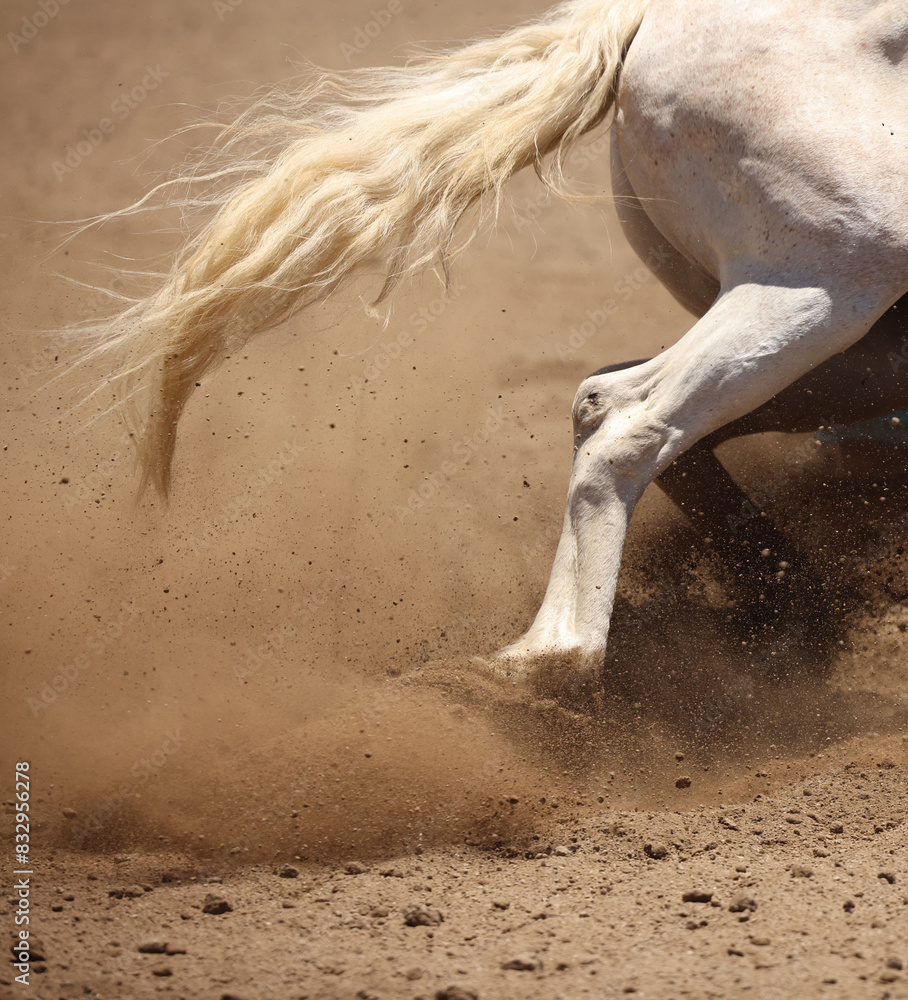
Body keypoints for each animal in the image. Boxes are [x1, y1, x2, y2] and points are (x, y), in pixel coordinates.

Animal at [76, 0, 908, 686]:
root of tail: (654, 15)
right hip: (822, 280)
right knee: (627, 419)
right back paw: (548, 668)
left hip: (861, 338)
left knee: (620, 407)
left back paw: (800, 615)